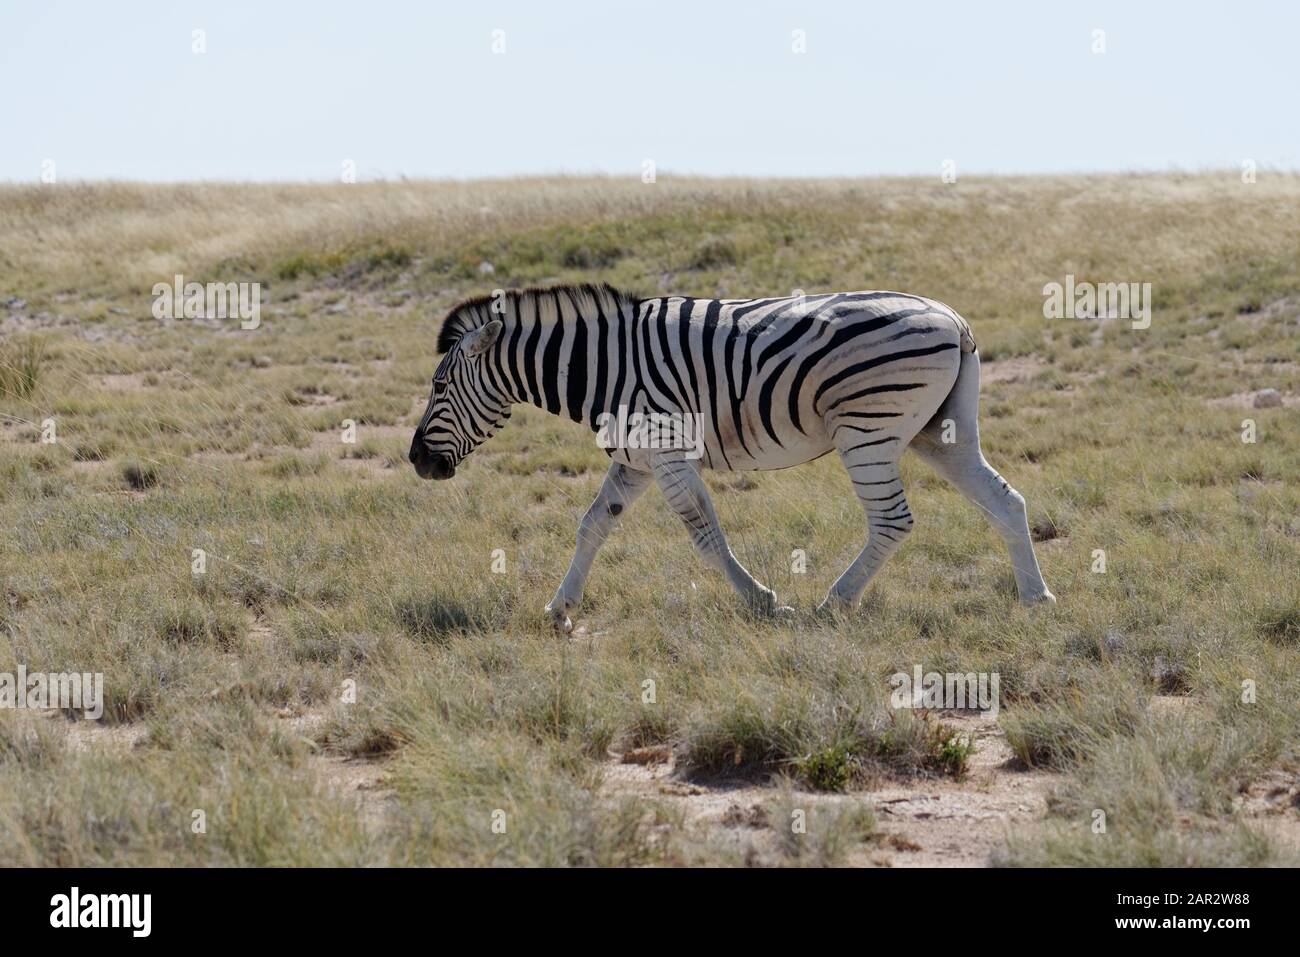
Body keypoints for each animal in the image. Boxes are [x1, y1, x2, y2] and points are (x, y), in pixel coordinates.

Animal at [410, 283, 1055, 631]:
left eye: (439, 388)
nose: (417, 462)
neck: (601, 366)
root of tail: (953, 318)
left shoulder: (667, 451)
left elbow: (703, 534)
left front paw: (764, 602)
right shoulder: (637, 457)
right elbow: (592, 525)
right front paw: (559, 609)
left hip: (866, 431)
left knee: (893, 521)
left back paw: (832, 603)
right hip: (940, 434)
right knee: (1006, 501)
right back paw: (1036, 599)